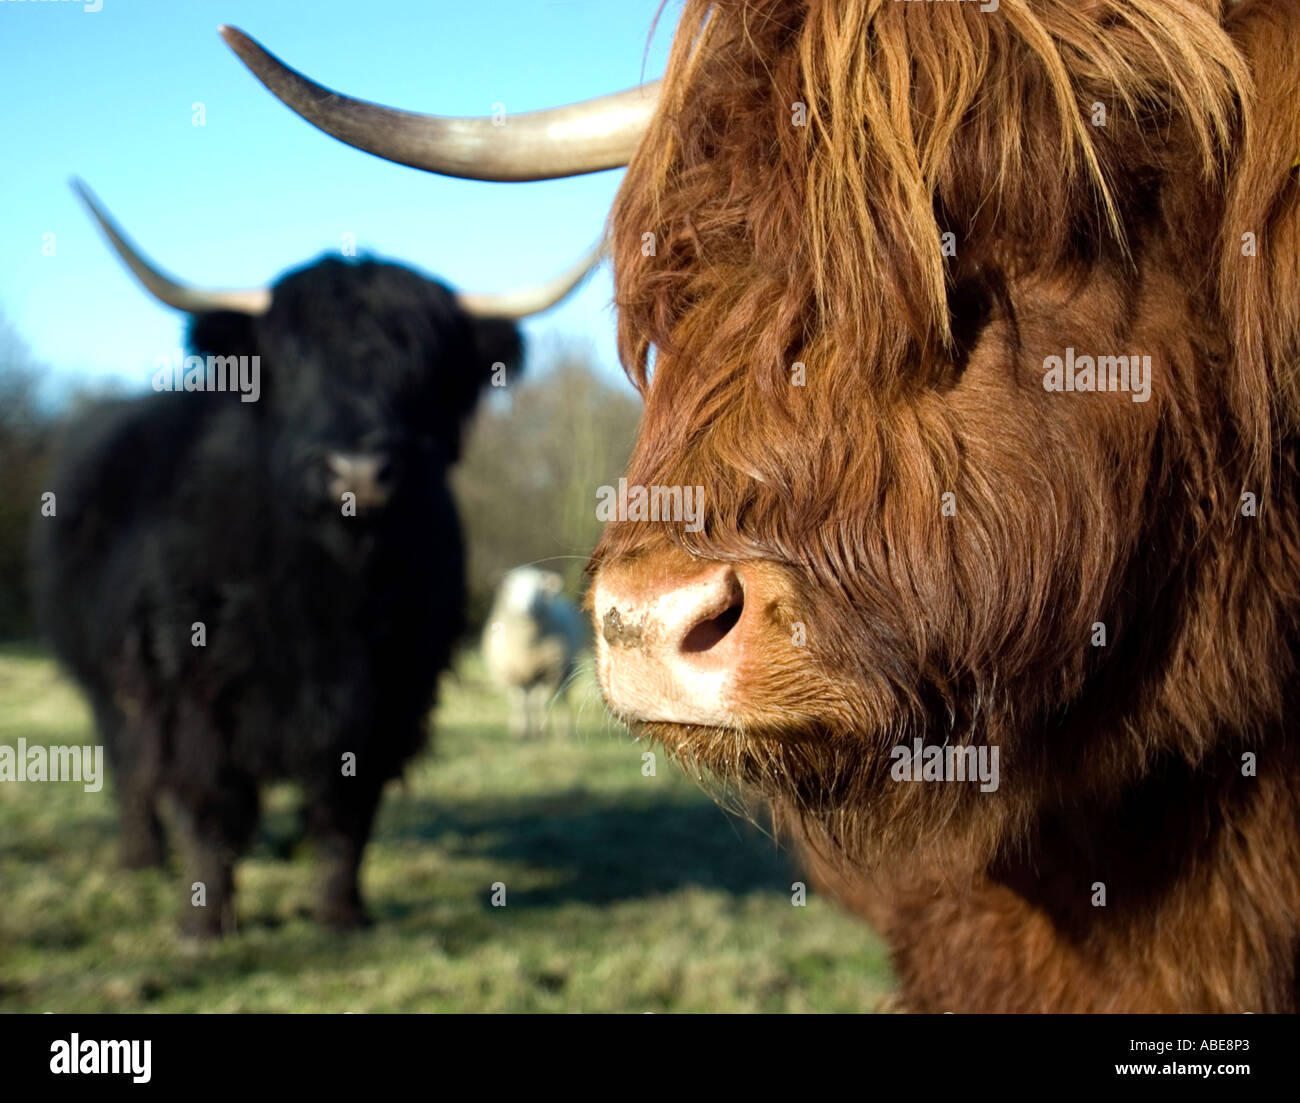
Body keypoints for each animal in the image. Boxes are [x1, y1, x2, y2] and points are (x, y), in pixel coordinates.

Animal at [482, 566, 587, 739]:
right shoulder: (513, 673)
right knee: (530, 699)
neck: (526, 645)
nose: (526, 608)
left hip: (565, 670)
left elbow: (540, 702)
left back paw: (564, 730)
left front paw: (541, 731)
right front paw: (520, 732)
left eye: (539, 591)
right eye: (514, 589)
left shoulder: (547, 672)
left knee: (562, 697)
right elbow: (519, 703)